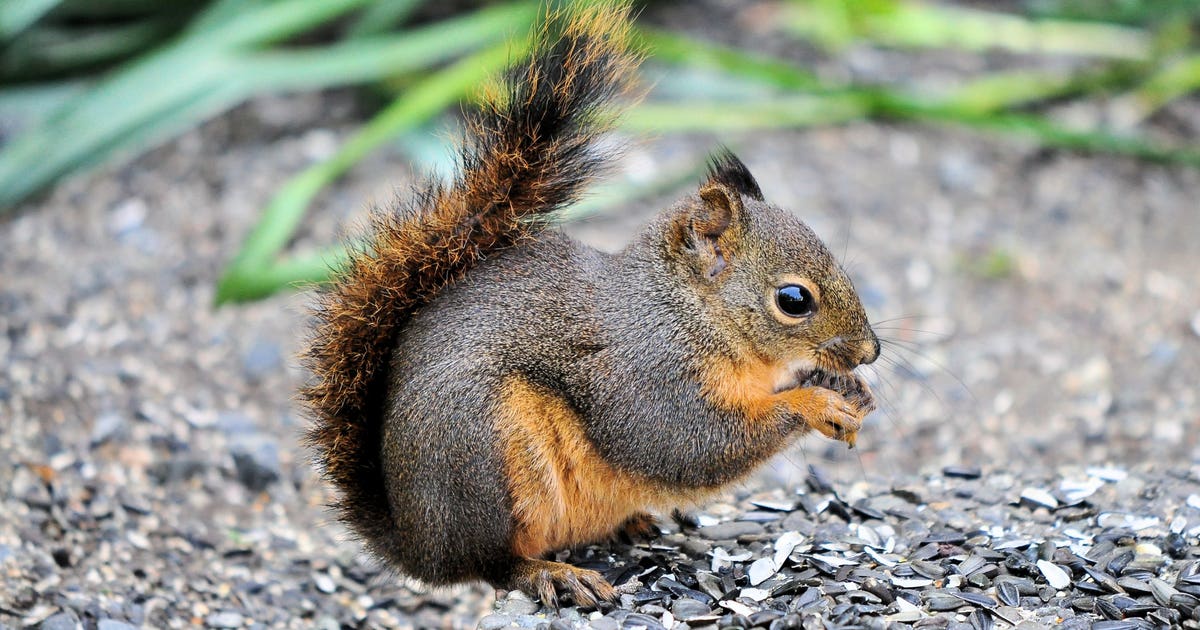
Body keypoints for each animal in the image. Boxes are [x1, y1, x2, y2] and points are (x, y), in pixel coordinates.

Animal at [302, 1, 879, 608]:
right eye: (793, 300)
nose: (871, 352)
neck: (691, 313)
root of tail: (418, 546)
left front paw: (849, 388)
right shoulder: (648, 373)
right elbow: (692, 444)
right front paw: (817, 403)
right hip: (484, 452)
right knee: (492, 564)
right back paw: (550, 573)